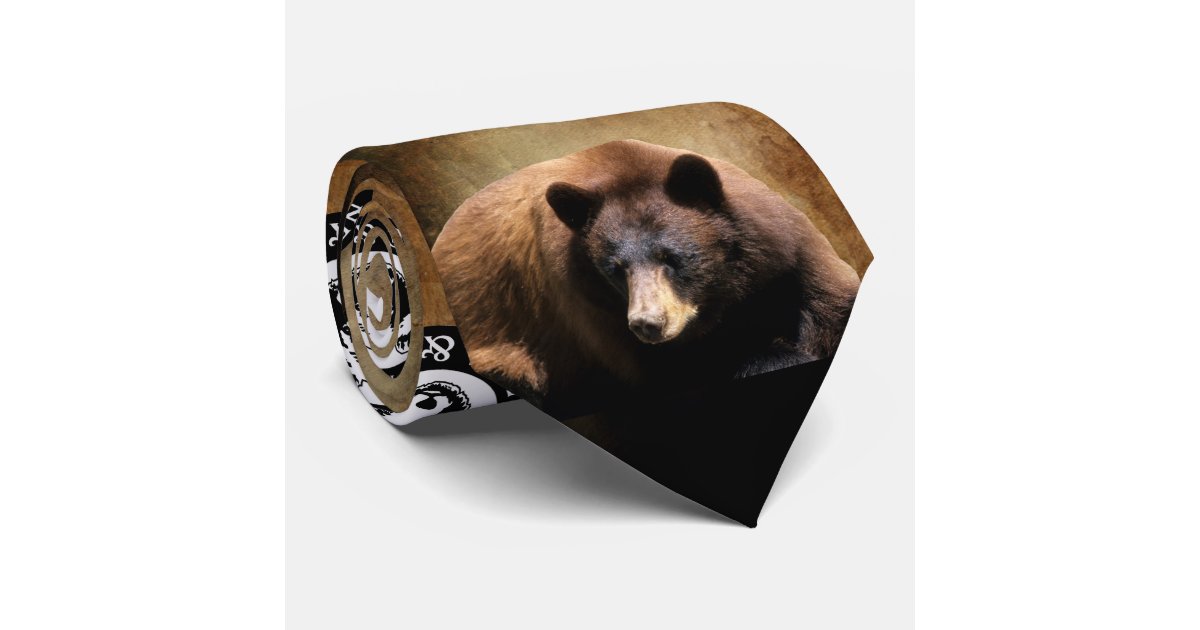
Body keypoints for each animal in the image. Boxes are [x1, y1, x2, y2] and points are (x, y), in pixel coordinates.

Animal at [430, 139, 860, 418]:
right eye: (615, 269)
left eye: (670, 257)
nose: (647, 324)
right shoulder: (587, 307)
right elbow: (673, 375)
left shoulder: (782, 253)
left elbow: (831, 302)